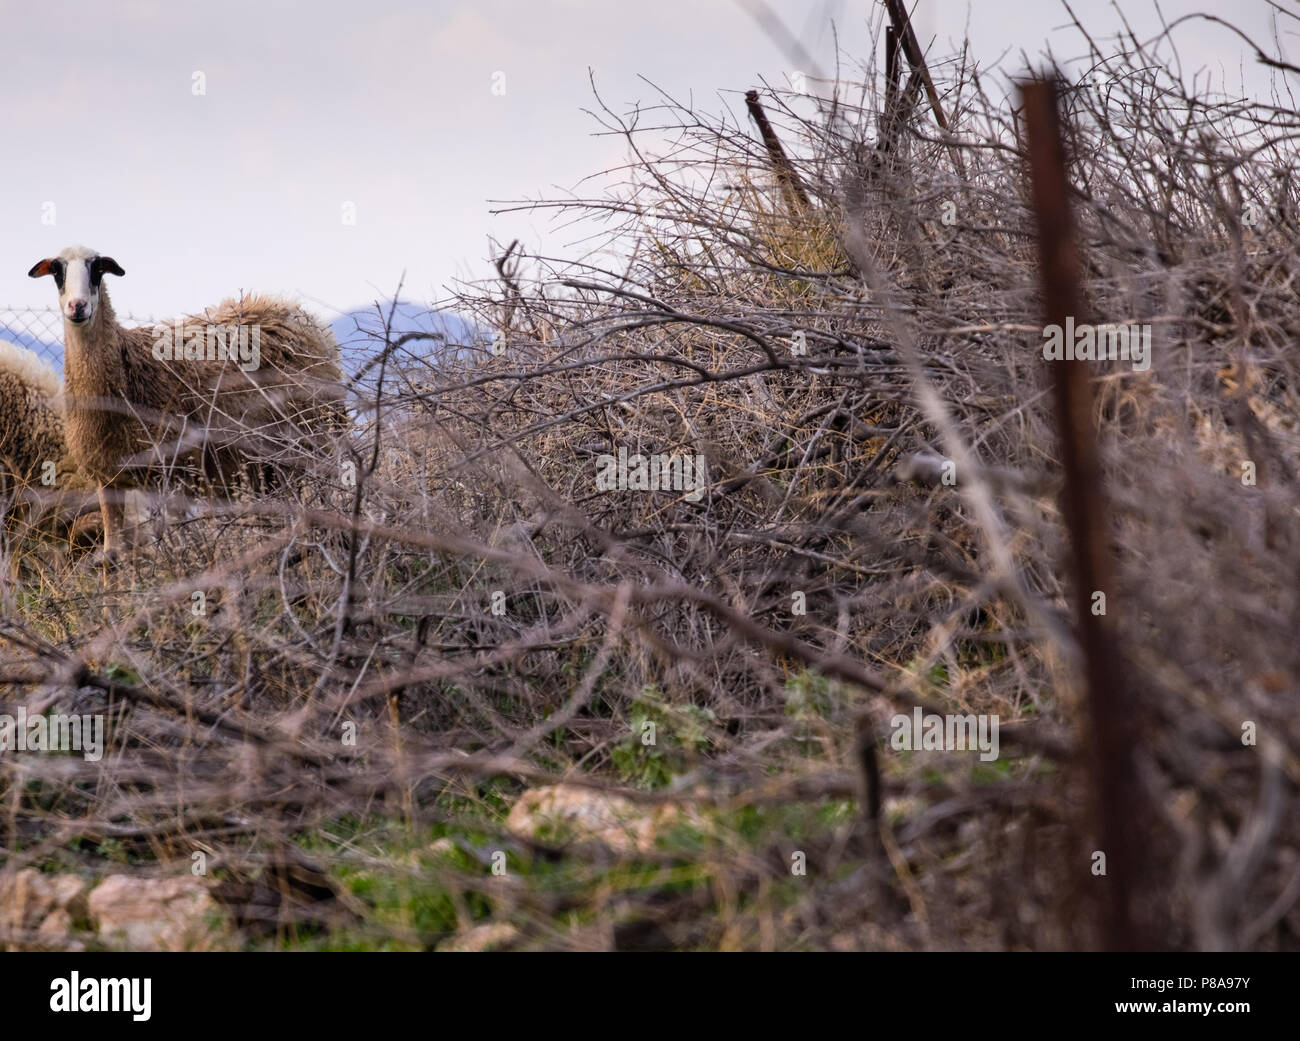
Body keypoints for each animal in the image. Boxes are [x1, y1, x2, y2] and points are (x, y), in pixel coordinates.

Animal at [29, 245, 347, 558]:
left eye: (97, 269)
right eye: (57, 271)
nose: (77, 306)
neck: (125, 369)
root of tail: (301, 315)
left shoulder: (170, 473)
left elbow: (174, 543)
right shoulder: (108, 479)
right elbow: (113, 555)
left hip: (314, 440)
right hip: (270, 464)